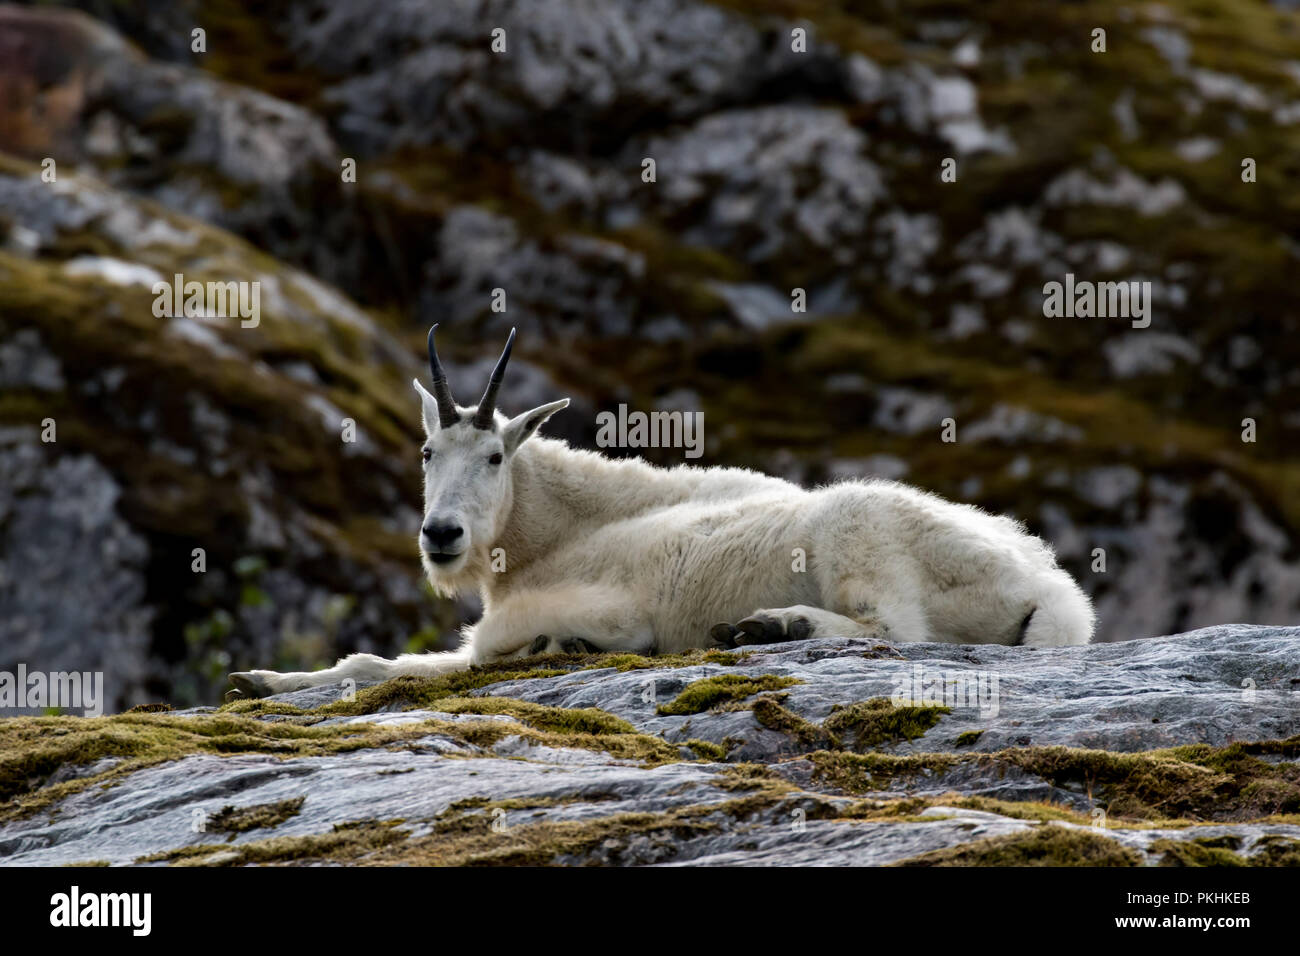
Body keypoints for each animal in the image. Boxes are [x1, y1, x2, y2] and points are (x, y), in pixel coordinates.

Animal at [227, 327, 1094, 698]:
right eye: (426, 453)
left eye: (495, 458)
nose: (441, 535)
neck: (556, 531)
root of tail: (1055, 595)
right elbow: (378, 664)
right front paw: (257, 680)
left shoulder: (597, 610)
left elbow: (453, 656)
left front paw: (558, 645)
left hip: (861, 536)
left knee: (895, 630)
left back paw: (769, 626)